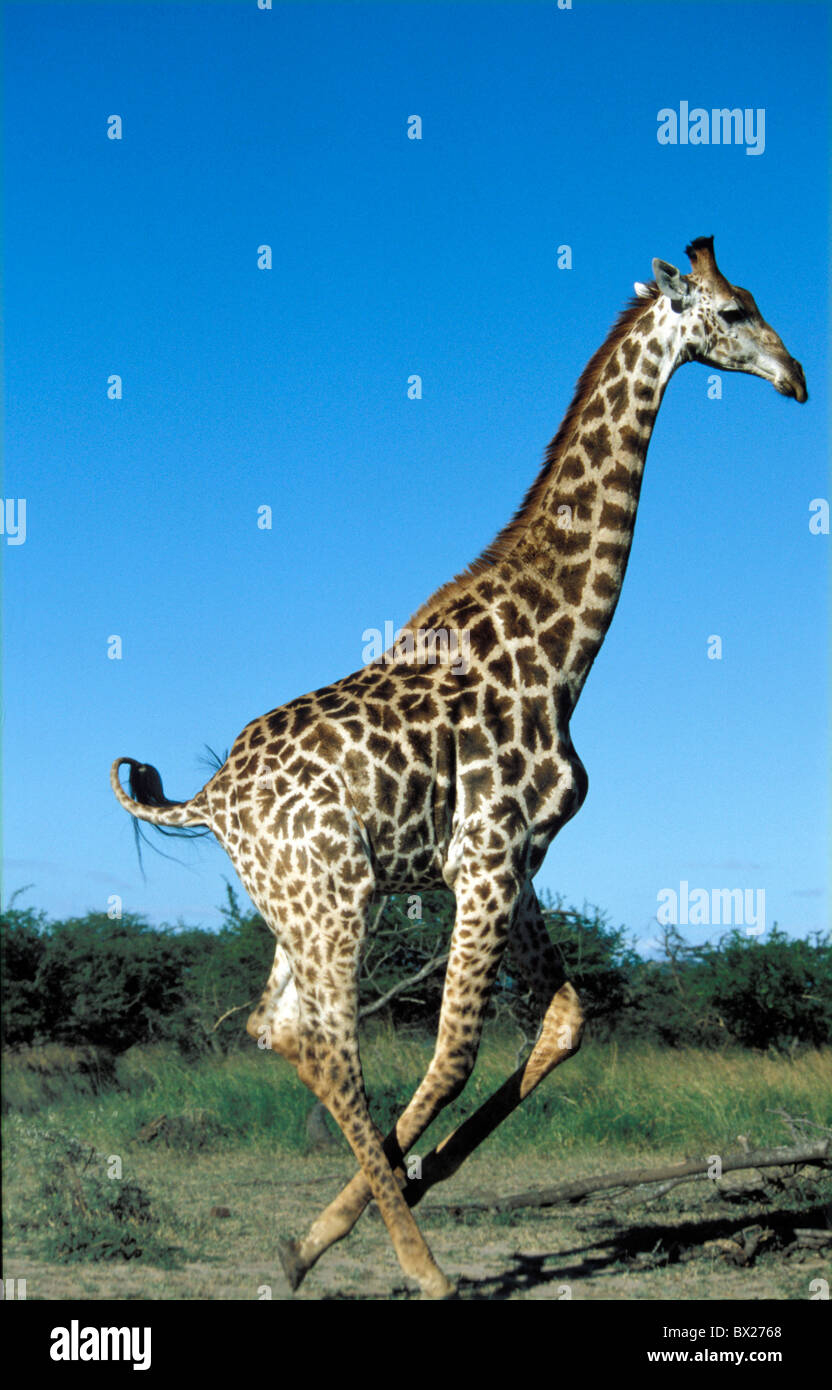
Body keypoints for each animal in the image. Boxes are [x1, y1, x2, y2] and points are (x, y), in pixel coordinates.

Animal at [111, 237, 806, 1298]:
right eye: (732, 311)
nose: (797, 376)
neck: (562, 652)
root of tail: (207, 801)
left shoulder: (513, 861)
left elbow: (563, 1023)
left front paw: (376, 1199)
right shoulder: (484, 857)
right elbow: (454, 1051)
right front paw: (389, 1220)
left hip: (296, 902)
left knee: (277, 1027)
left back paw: (317, 1241)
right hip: (337, 894)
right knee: (327, 1039)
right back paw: (419, 1262)